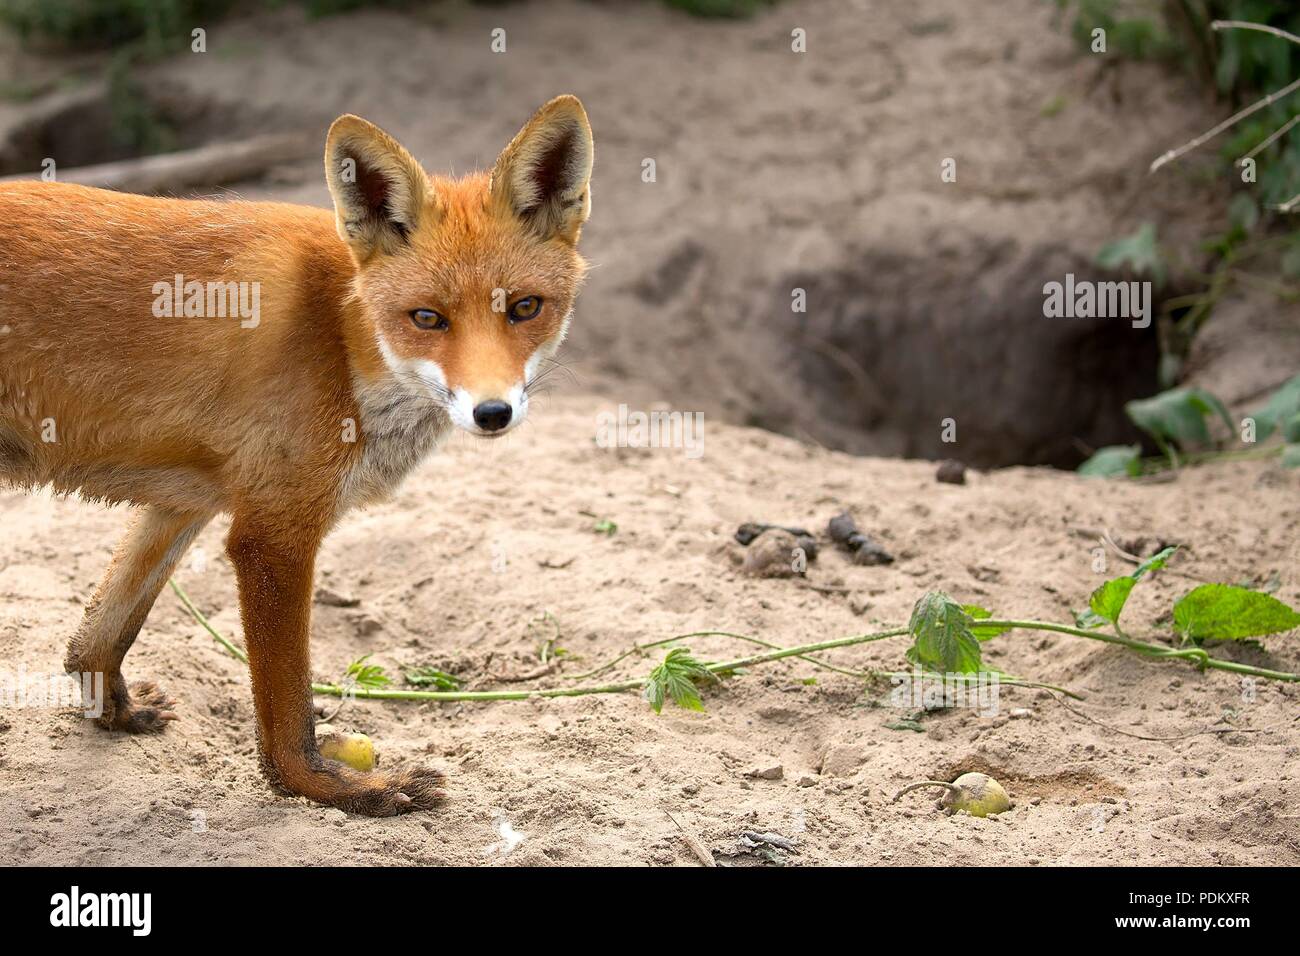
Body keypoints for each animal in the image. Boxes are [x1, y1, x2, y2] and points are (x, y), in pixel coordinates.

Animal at [0, 95, 594, 815]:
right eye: (427, 319)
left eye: (526, 308)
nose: (492, 412)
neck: (341, 336)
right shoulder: (273, 534)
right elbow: (287, 718)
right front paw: (337, 789)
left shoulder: (189, 499)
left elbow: (102, 630)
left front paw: (112, 710)